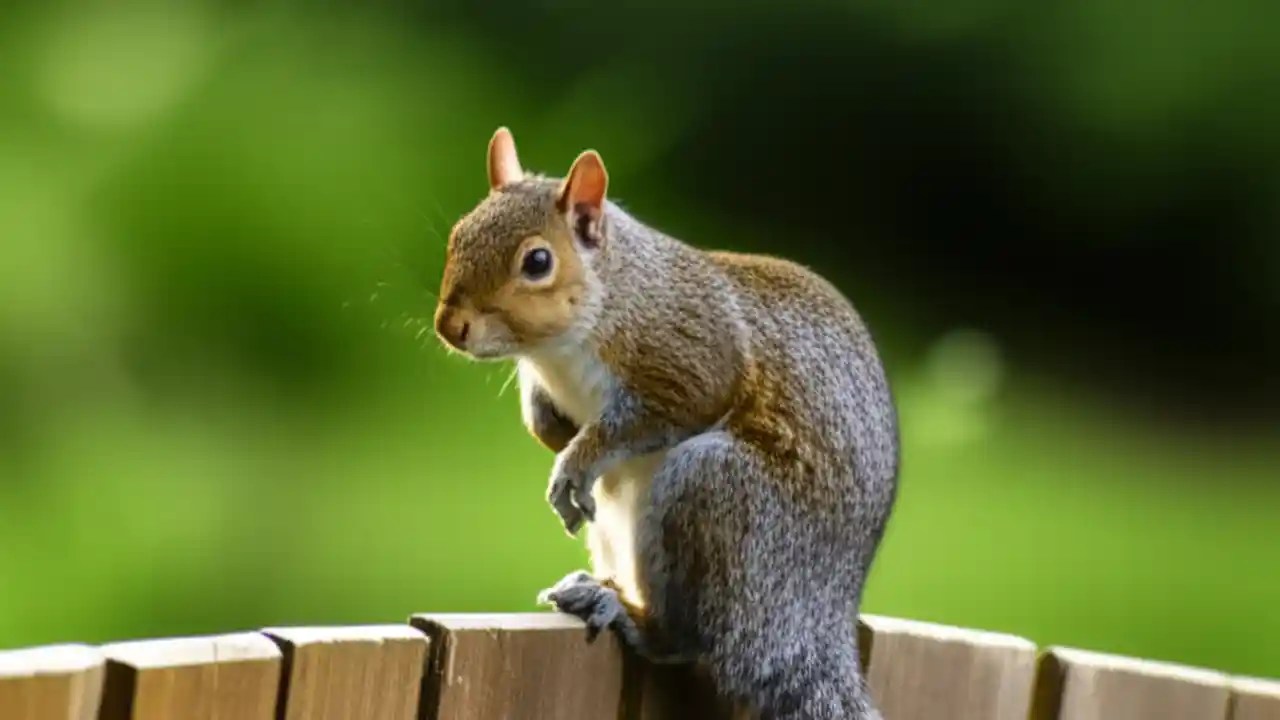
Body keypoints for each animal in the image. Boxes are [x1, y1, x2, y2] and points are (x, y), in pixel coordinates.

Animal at [434, 127, 899, 720]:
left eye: (537, 261)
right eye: (458, 234)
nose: (450, 326)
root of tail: (815, 625)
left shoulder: (690, 353)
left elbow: (663, 412)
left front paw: (575, 463)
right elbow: (544, 415)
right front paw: (553, 433)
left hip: (714, 501)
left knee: (689, 641)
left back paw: (623, 611)